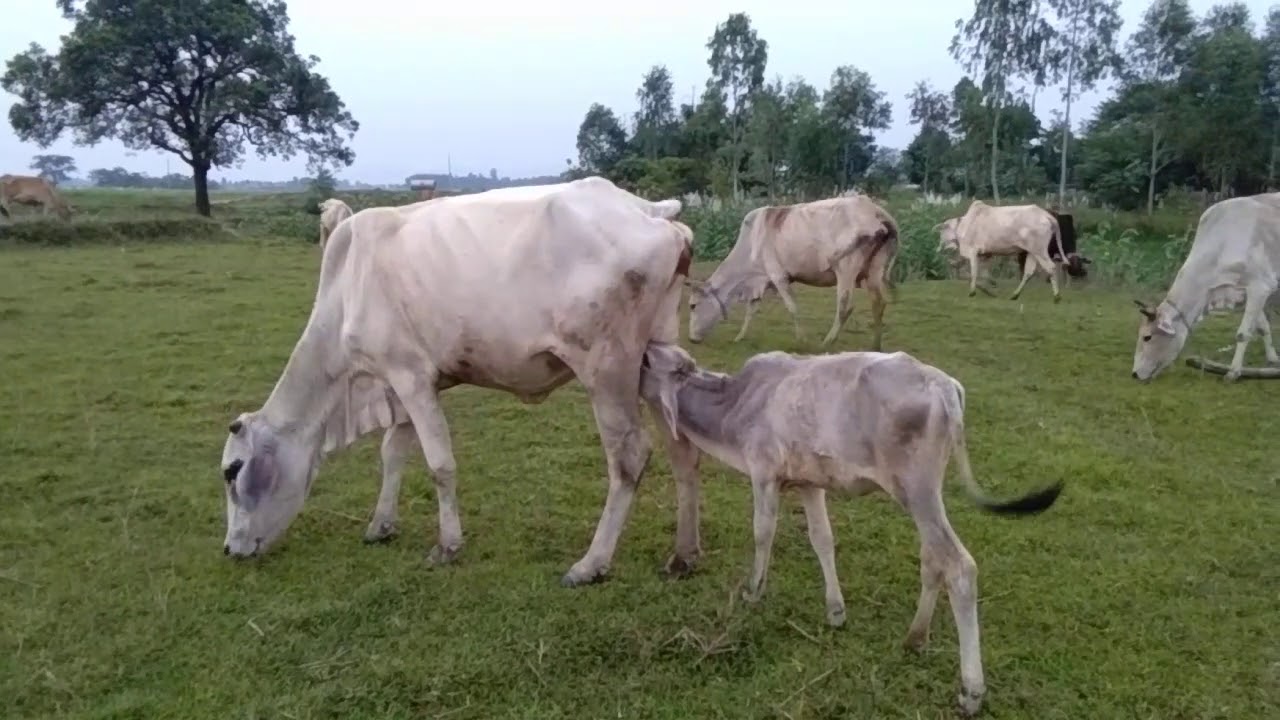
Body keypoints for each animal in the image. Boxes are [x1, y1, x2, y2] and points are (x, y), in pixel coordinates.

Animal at [218, 176, 703, 589]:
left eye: (232, 471)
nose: (229, 549)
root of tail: (652, 211)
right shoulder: (406, 386)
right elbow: (392, 452)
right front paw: (380, 525)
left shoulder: (409, 376)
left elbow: (439, 464)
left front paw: (448, 545)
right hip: (655, 358)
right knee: (681, 448)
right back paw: (683, 555)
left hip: (607, 367)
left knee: (629, 455)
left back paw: (591, 564)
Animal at [638, 342, 1063, 718]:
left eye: (645, 360)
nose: (635, 358)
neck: (736, 402)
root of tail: (944, 387)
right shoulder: (809, 484)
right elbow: (822, 540)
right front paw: (835, 609)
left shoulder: (763, 473)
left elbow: (762, 532)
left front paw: (753, 592)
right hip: (925, 497)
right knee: (933, 561)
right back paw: (915, 638)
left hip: (918, 493)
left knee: (959, 568)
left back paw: (971, 691)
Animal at [686, 194, 899, 351]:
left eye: (693, 305)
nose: (691, 339)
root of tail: (877, 212)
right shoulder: (761, 281)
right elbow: (751, 310)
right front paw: (740, 337)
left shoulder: (778, 276)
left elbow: (792, 308)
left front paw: (802, 340)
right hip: (874, 271)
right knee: (879, 304)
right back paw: (876, 346)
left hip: (846, 269)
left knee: (844, 306)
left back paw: (828, 341)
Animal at [935, 200, 1067, 302]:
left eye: (942, 231)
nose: (939, 248)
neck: (964, 225)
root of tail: (1047, 216)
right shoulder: (985, 254)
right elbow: (982, 273)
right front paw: (991, 288)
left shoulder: (972, 252)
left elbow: (972, 273)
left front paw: (973, 291)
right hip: (1032, 252)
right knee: (1029, 272)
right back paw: (1015, 295)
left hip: (1039, 250)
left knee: (1050, 267)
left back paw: (1057, 297)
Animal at [1132, 192, 1280, 382]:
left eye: (1147, 337)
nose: (1134, 373)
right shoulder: (1246, 292)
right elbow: (1262, 327)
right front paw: (1273, 359)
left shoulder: (1260, 286)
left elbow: (1243, 334)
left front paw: (1233, 372)